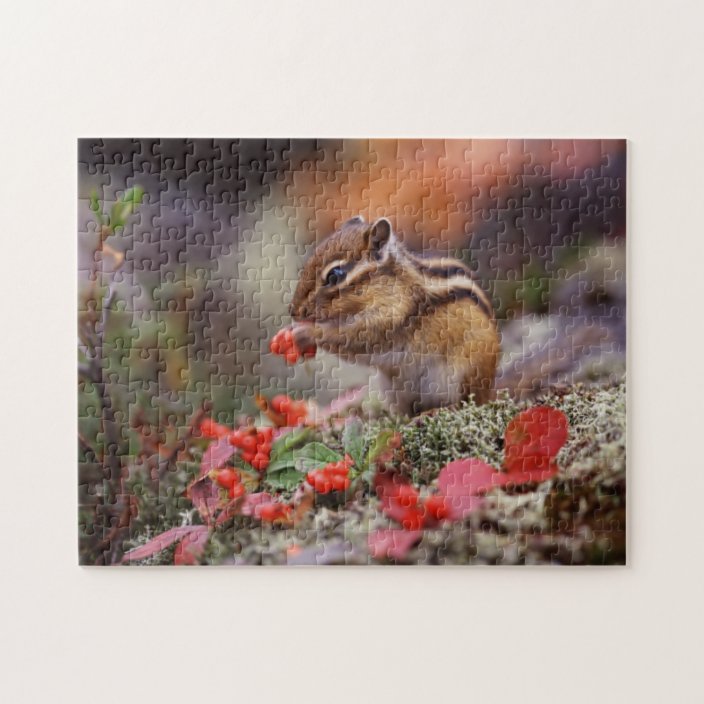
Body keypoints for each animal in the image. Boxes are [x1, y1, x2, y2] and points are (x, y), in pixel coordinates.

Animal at [282, 216, 499, 416]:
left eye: (335, 275)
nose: (294, 311)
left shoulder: (391, 317)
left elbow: (352, 337)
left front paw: (306, 332)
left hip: (463, 375)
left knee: (467, 404)